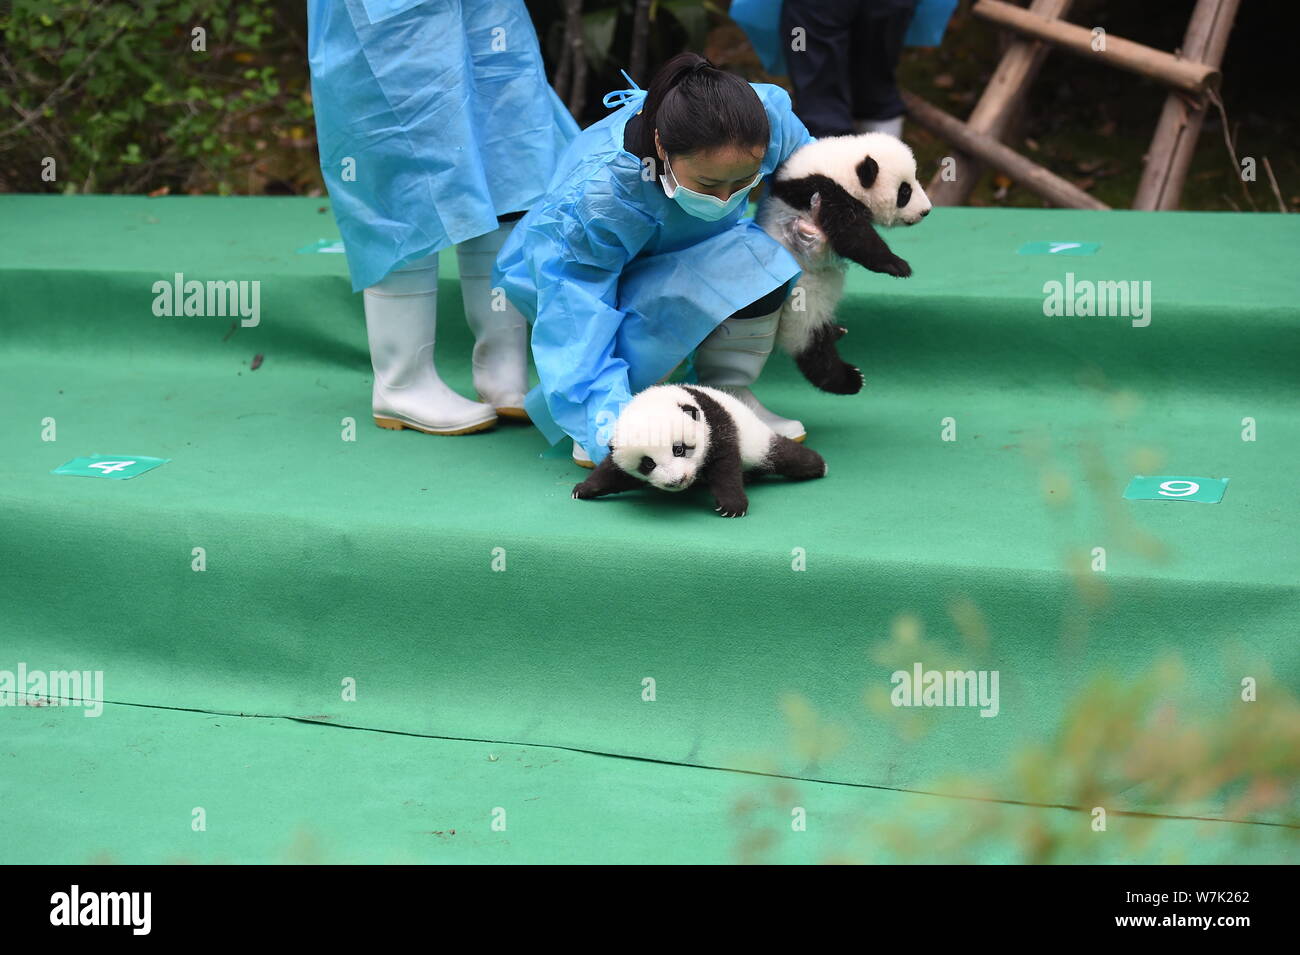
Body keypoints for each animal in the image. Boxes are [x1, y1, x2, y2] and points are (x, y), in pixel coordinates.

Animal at [571, 384, 827, 517]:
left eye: (679, 449)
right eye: (647, 463)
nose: (677, 481)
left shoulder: (716, 425)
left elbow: (725, 467)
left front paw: (733, 506)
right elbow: (612, 471)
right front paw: (584, 489)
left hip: (755, 439)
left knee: (782, 454)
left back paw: (818, 465)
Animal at [756, 132, 932, 395]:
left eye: (914, 181)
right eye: (904, 192)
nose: (926, 211)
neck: (836, 167)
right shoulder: (822, 193)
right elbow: (851, 233)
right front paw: (897, 265)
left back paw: (837, 331)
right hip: (801, 304)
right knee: (814, 348)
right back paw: (847, 379)